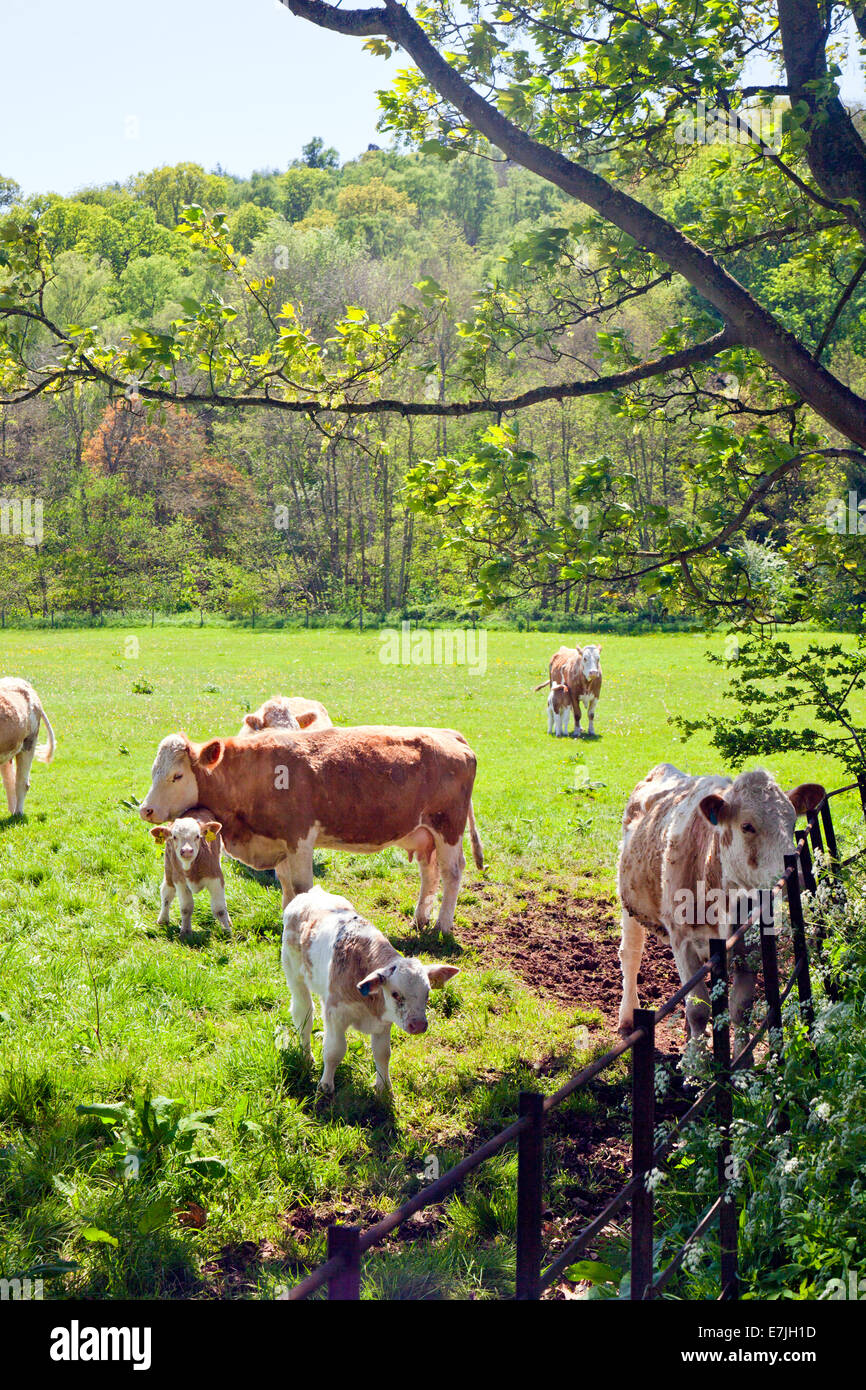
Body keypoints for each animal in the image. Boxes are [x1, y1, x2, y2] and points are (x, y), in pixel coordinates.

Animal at [149, 808, 233, 939]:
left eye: (197, 836)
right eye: (174, 837)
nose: (187, 851)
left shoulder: (216, 878)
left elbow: (219, 908)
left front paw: (226, 931)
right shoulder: (180, 881)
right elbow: (186, 908)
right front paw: (185, 932)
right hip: (169, 867)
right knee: (167, 891)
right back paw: (163, 919)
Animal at [281, 885, 459, 1093]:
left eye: (427, 994)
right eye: (395, 994)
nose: (419, 1025)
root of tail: (311, 893)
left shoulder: (384, 1021)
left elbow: (383, 1054)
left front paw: (384, 1089)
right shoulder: (336, 1014)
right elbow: (334, 1050)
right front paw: (325, 1085)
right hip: (294, 975)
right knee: (304, 1015)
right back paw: (306, 1056)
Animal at [616, 763, 826, 1041]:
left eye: (792, 823)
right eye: (747, 826)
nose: (799, 875)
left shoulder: (747, 947)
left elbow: (740, 1008)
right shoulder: (682, 941)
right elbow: (697, 1009)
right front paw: (696, 1053)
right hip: (630, 905)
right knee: (630, 955)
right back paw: (628, 1017)